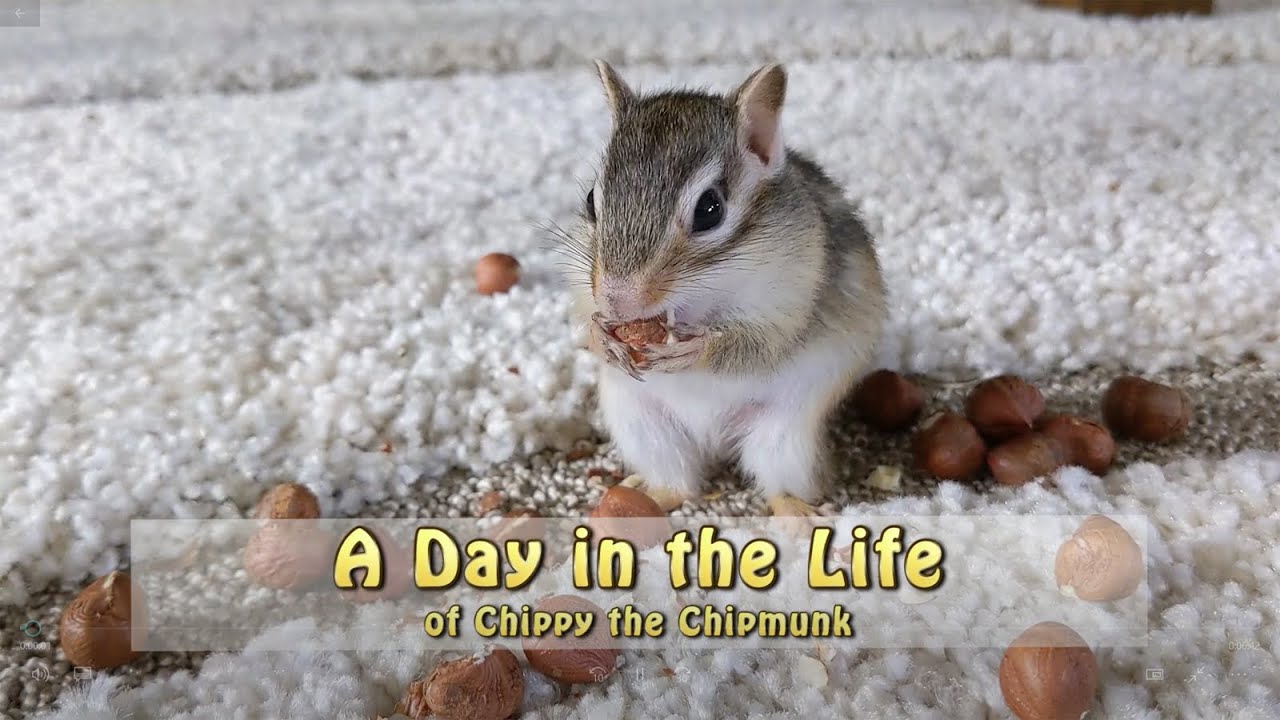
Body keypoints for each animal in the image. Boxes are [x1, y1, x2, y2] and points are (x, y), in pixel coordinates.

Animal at [563, 60, 887, 517]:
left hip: (784, 440)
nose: (618, 301)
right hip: (640, 424)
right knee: (680, 485)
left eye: (709, 209)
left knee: (776, 485)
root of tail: (714, 440)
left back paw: (797, 514)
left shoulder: (788, 301)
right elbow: (582, 313)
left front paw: (694, 349)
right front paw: (601, 335)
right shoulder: (582, 284)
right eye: (592, 200)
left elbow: (753, 346)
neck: (693, 298)